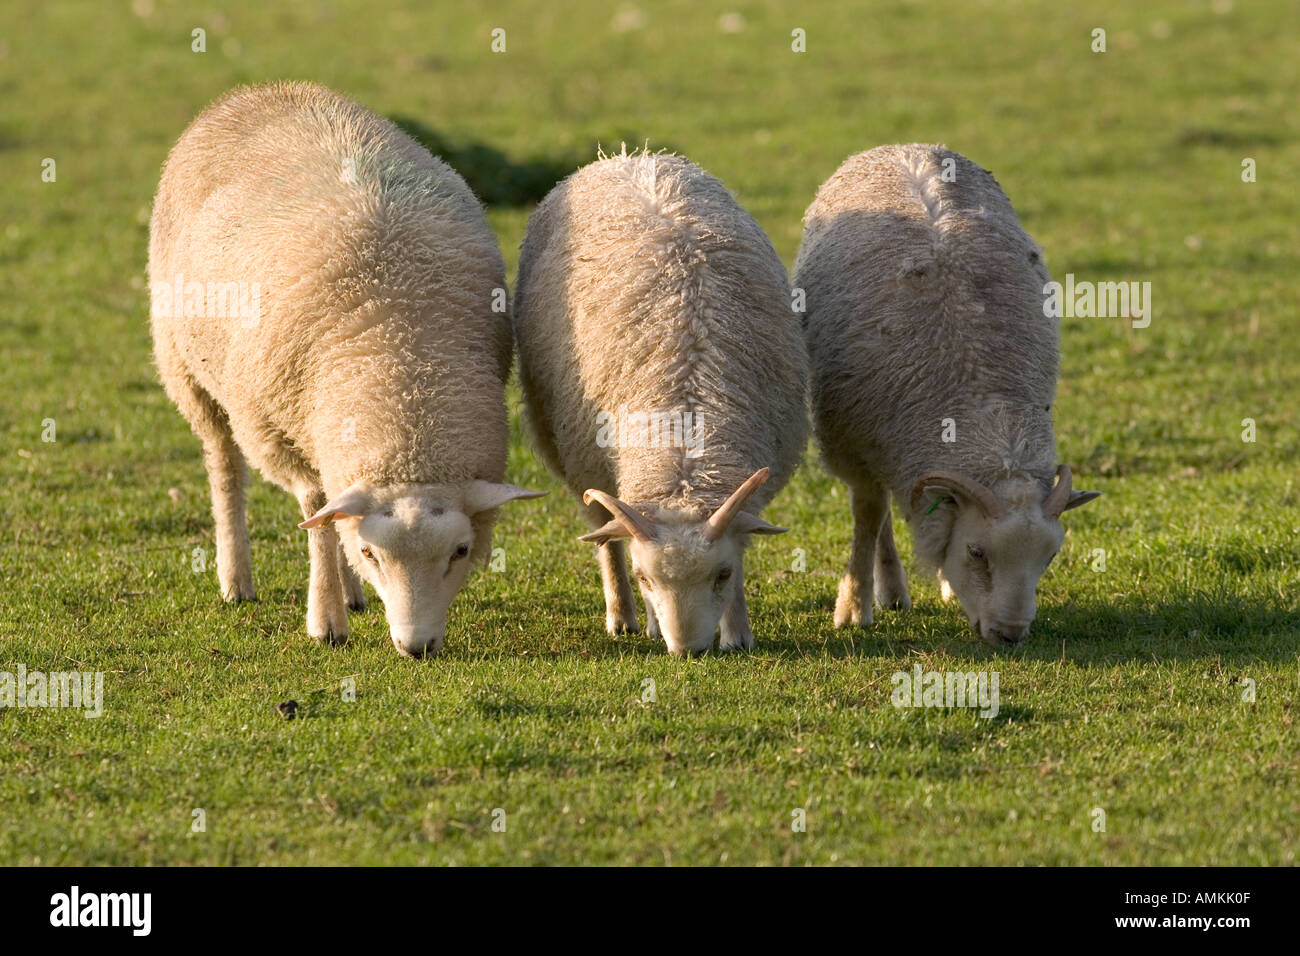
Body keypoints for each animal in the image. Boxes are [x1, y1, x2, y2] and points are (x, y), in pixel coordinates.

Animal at [147, 82, 543, 658]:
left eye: (461, 551)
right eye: (373, 553)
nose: (416, 646)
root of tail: (257, 90)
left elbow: (332, 518)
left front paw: (343, 593)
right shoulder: (276, 425)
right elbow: (316, 512)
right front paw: (325, 619)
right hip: (188, 370)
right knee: (225, 468)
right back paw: (237, 579)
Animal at [512, 149, 808, 655]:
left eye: (722, 575)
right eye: (645, 577)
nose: (687, 652)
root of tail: (629, 155)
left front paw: (738, 631)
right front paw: (651, 619)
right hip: (572, 452)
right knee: (604, 537)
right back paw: (624, 618)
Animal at [793, 144, 1100, 647]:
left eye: (1049, 558)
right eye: (976, 552)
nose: (1010, 635)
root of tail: (903, 147)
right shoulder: (854, 443)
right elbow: (867, 517)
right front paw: (854, 606)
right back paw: (891, 589)